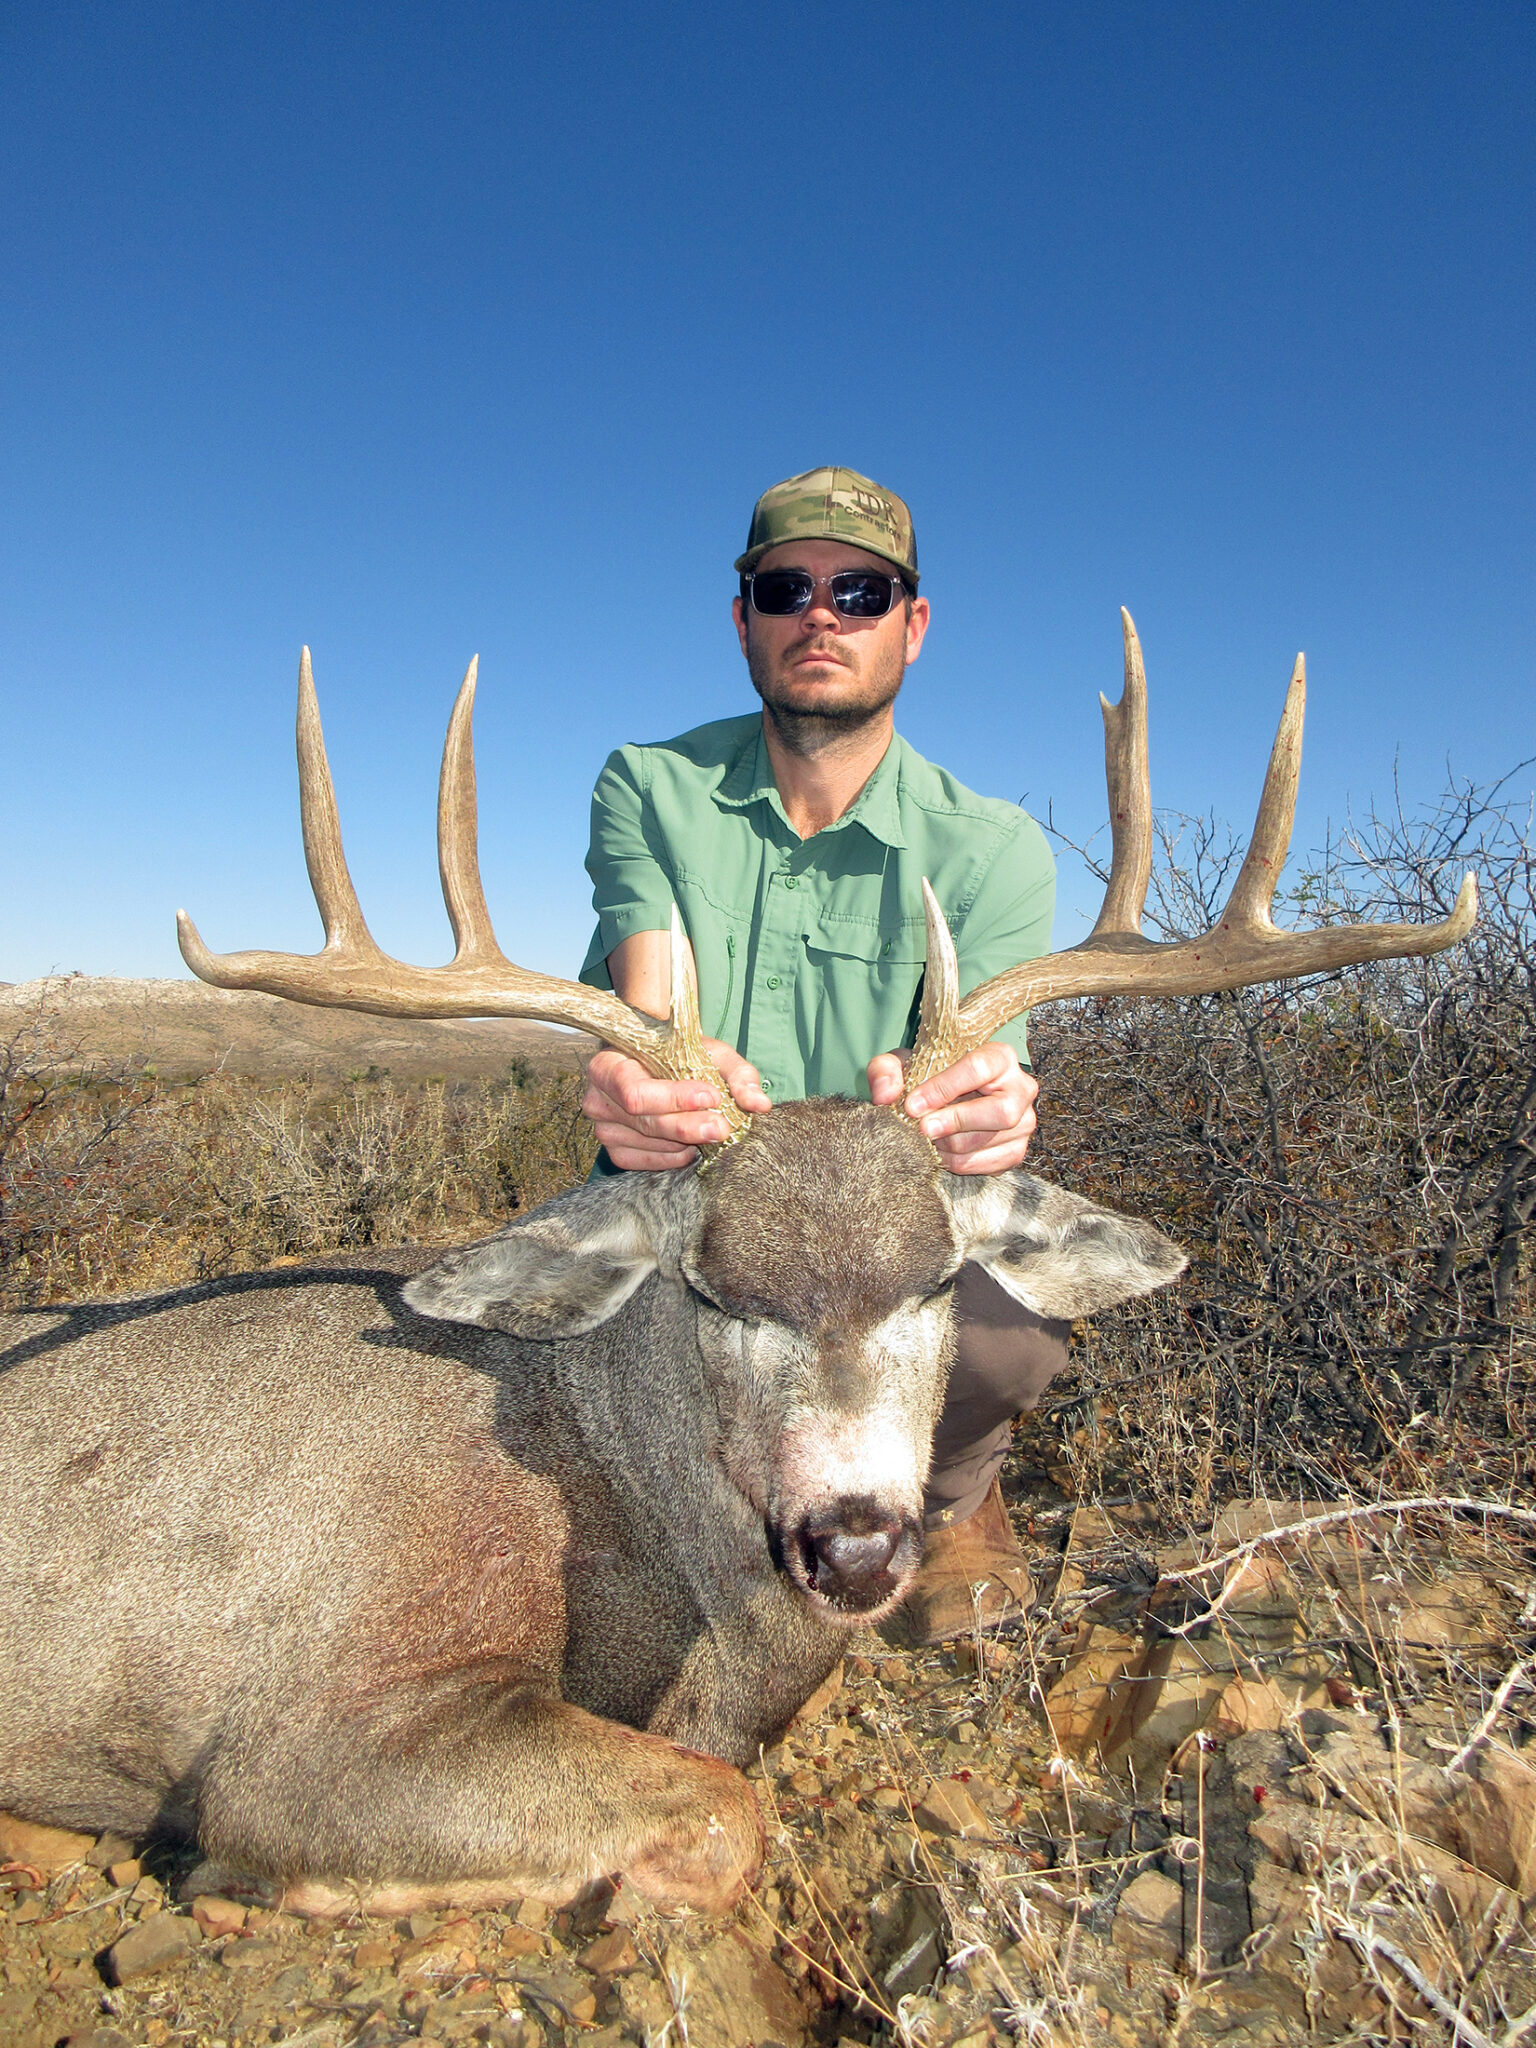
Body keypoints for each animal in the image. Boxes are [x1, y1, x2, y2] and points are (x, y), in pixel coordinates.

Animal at [0, 614, 1474, 1920]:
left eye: (937, 1278)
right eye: (712, 1292)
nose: (856, 1541)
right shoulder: (310, 1713)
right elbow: (722, 1810)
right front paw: (277, 1886)